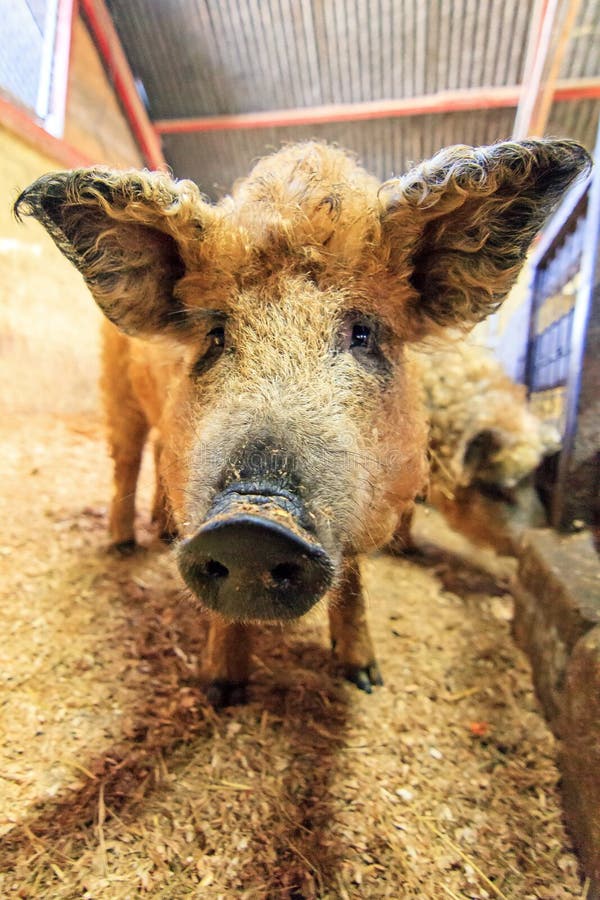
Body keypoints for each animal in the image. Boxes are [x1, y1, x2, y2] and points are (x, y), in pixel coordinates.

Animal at [15, 139, 590, 705]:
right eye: (217, 334)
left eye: (362, 334)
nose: (254, 524)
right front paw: (222, 692)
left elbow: (353, 583)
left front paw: (365, 678)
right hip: (117, 393)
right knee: (127, 459)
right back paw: (123, 545)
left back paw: (161, 532)